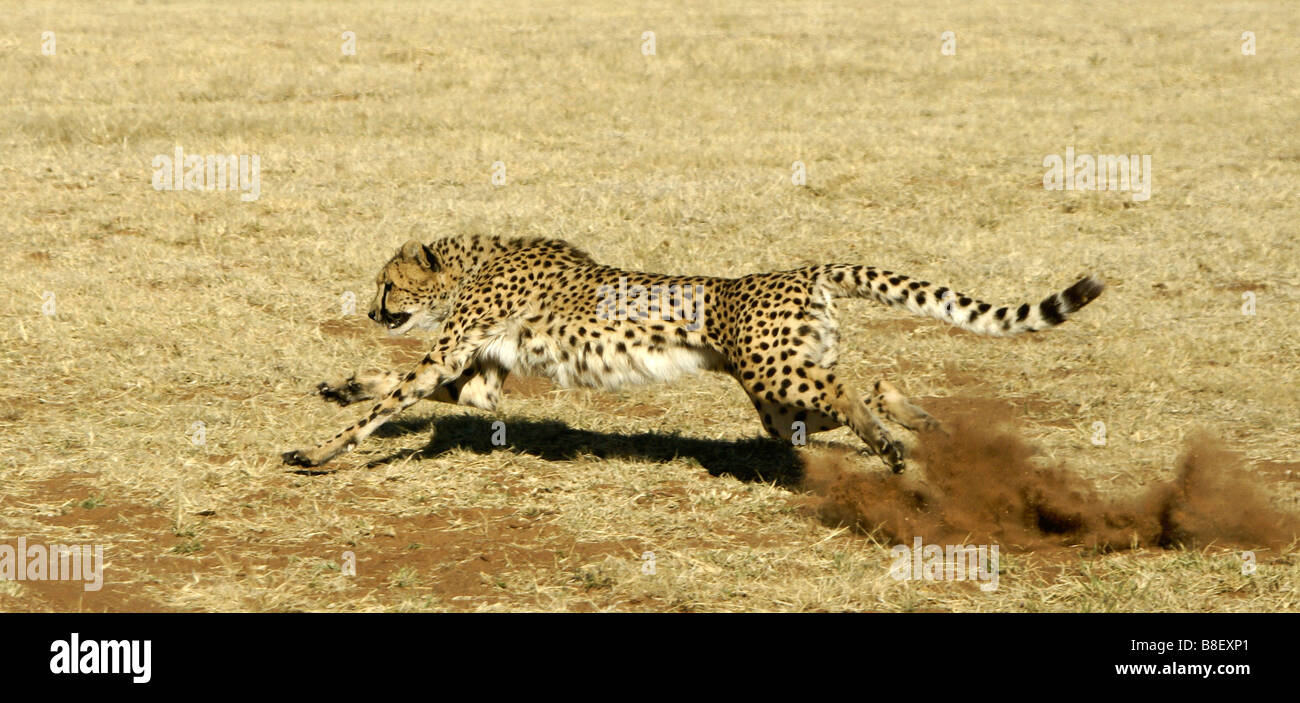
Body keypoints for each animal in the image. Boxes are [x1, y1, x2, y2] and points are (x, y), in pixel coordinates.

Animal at [282, 234, 1103, 472]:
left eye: (386, 284)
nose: (369, 309)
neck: (472, 262)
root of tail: (800, 269)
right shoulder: (480, 377)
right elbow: (412, 387)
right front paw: (345, 384)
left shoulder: (453, 355)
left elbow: (395, 397)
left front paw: (316, 453)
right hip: (778, 399)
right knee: (865, 387)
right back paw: (914, 429)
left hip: (779, 374)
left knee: (849, 391)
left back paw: (893, 441)